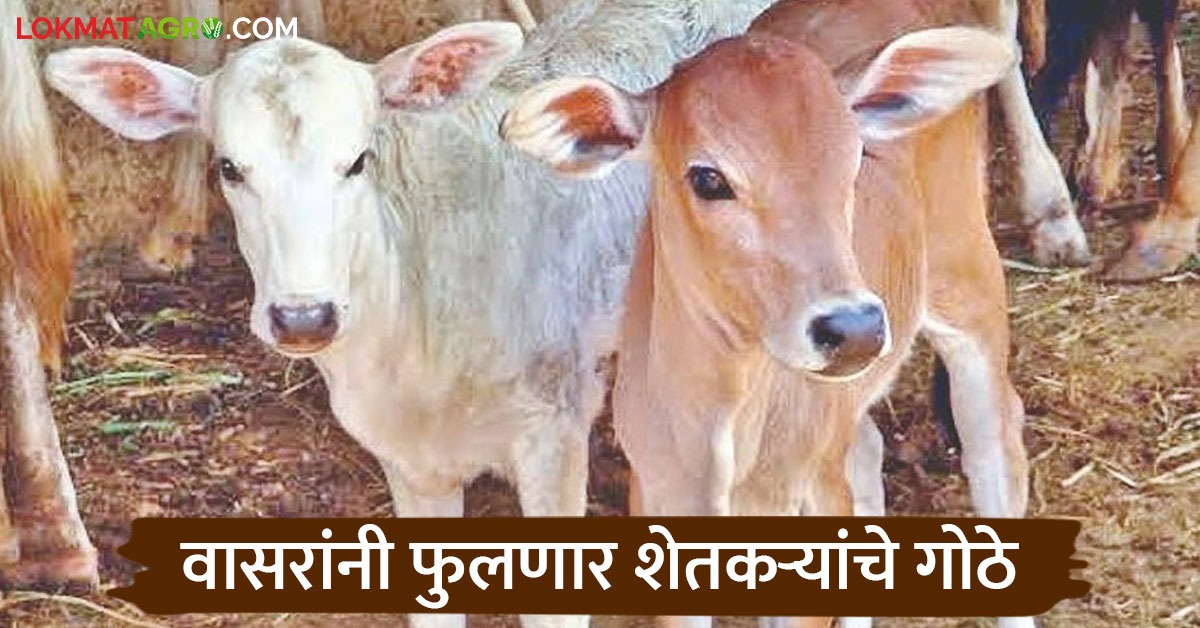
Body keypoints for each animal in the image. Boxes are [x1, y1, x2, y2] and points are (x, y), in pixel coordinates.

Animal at [502, 0, 1032, 627]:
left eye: (857, 157)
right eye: (708, 177)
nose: (853, 328)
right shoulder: (661, 495)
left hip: (967, 272)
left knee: (993, 437)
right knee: (868, 454)